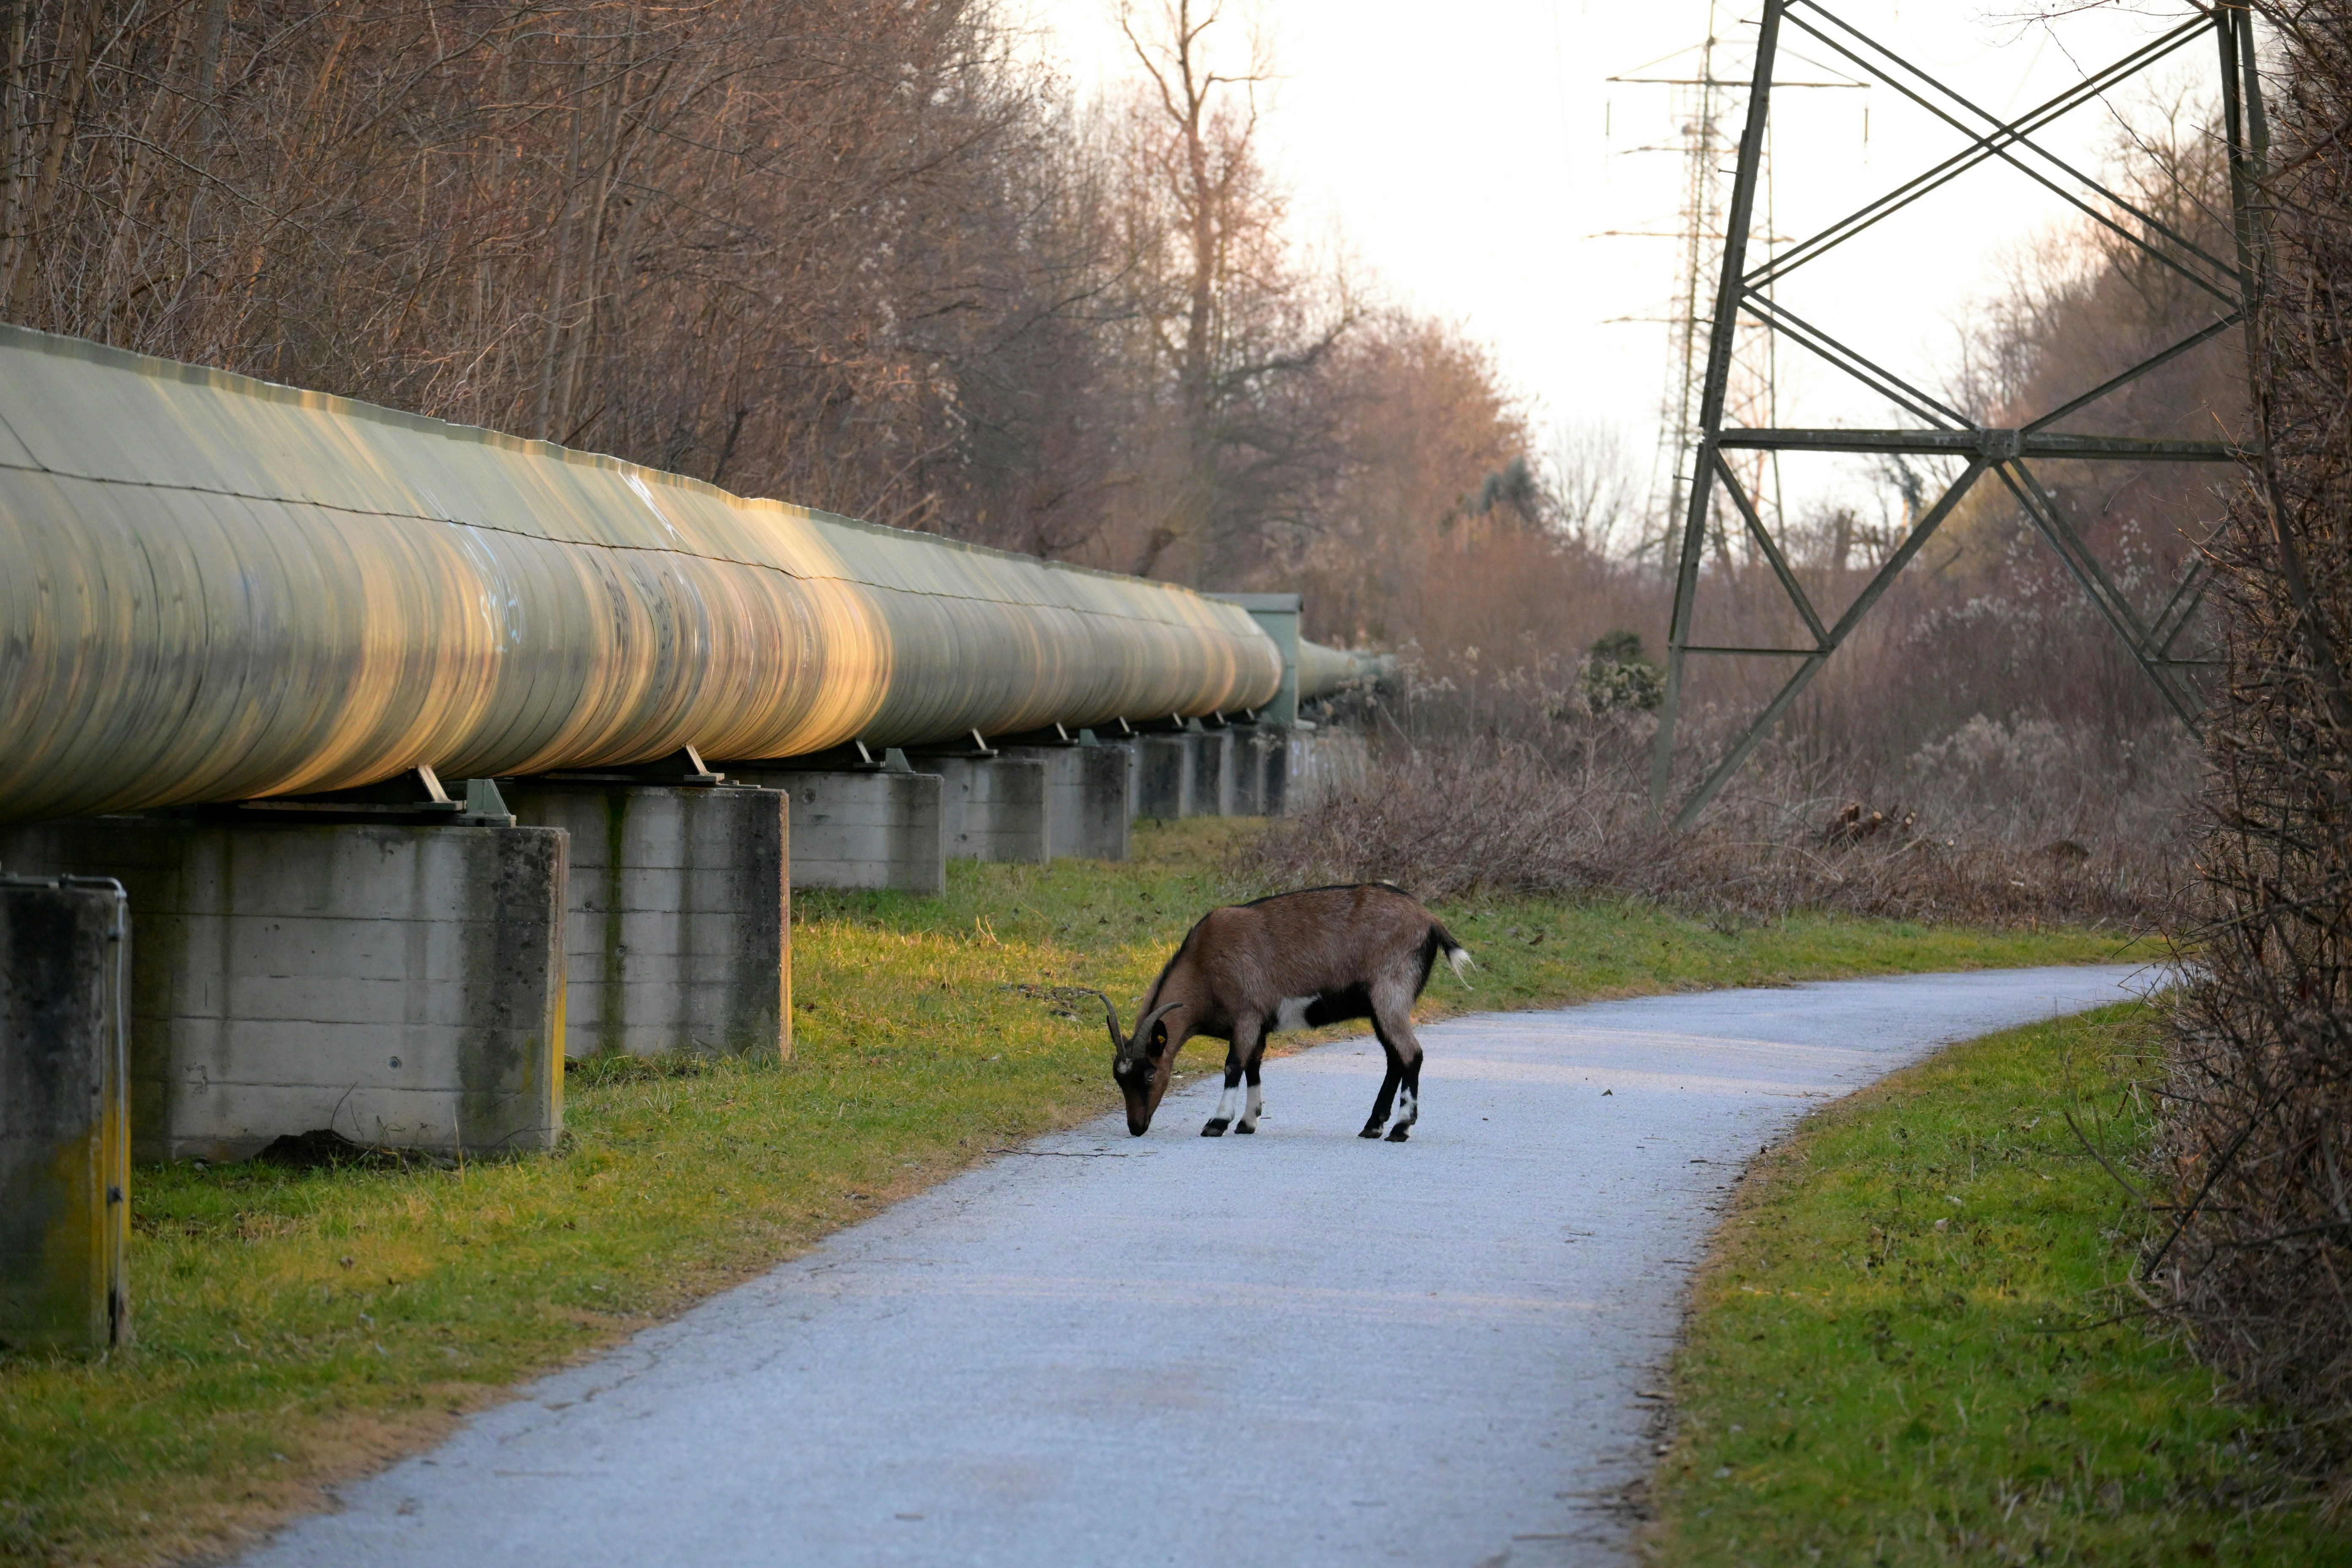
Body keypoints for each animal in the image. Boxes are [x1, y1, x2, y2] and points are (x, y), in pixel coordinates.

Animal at [1074, 883, 1473, 1142]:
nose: (1136, 1127)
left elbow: (1234, 1065)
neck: (1204, 964)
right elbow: (1254, 1066)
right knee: (1395, 1058)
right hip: (1381, 1005)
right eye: (1119, 1080)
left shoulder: (1247, 1015)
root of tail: (1429, 921)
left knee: (1412, 1054)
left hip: (1391, 992)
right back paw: (1373, 1126)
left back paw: (1400, 1129)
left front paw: (1217, 1122)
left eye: (1151, 1075)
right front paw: (1248, 1122)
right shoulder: (1259, 1025)